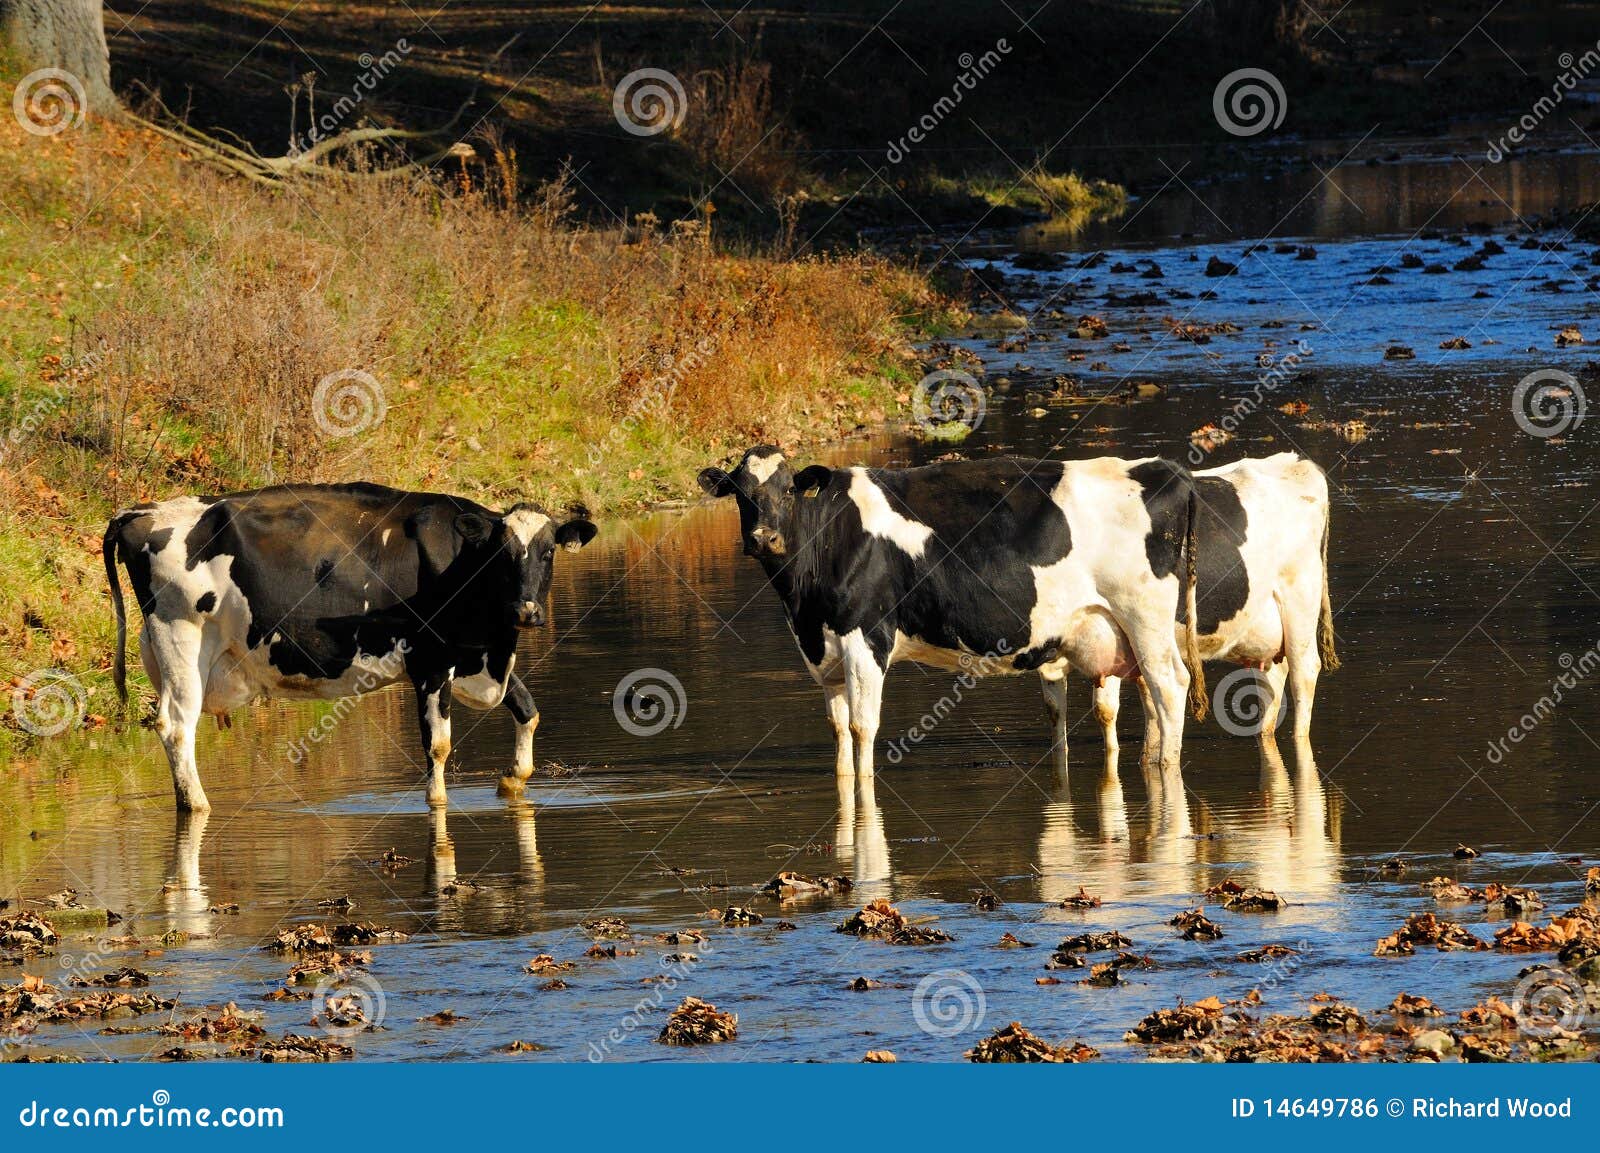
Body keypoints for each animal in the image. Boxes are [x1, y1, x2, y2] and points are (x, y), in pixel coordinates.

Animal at [103, 482, 596, 812]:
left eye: (549, 551)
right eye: (502, 554)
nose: (527, 611)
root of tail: (141, 510)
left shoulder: (472, 656)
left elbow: (528, 710)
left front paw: (512, 781)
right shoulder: (431, 661)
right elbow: (437, 745)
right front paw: (436, 801)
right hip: (181, 637)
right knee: (176, 727)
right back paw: (197, 805)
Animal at [697, 447, 1208, 785]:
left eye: (788, 491)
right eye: (741, 494)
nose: (765, 538)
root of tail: (1164, 469)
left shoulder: (866, 637)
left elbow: (864, 728)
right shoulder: (827, 656)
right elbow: (840, 732)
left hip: (1144, 615)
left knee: (1170, 684)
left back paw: (1168, 768)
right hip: (1126, 633)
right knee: (1151, 696)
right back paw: (1150, 763)